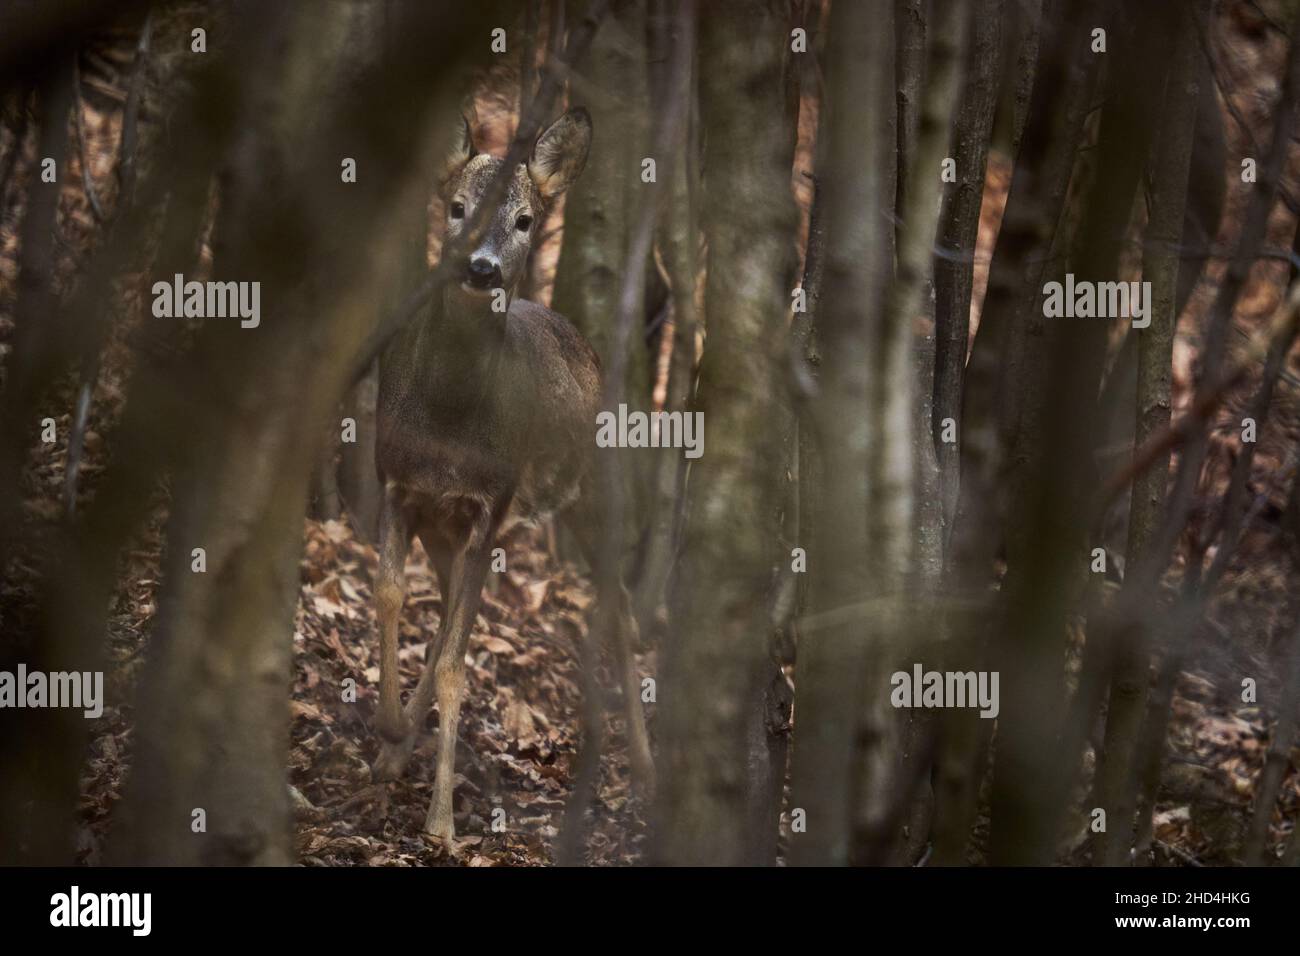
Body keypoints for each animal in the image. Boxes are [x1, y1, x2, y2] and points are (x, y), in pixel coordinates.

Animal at [370, 106, 653, 844]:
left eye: (525, 219)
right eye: (456, 207)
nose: (482, 266)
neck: (448, 420)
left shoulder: (486, 503)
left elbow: (455, 664)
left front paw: (441, 822)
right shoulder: (399, 485)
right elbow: (392, 598)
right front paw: (389, 726)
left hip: (589, 495)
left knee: (620, 608)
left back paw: (648, 768)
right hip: (454, 525)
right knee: (445, 614)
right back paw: (396, 748)